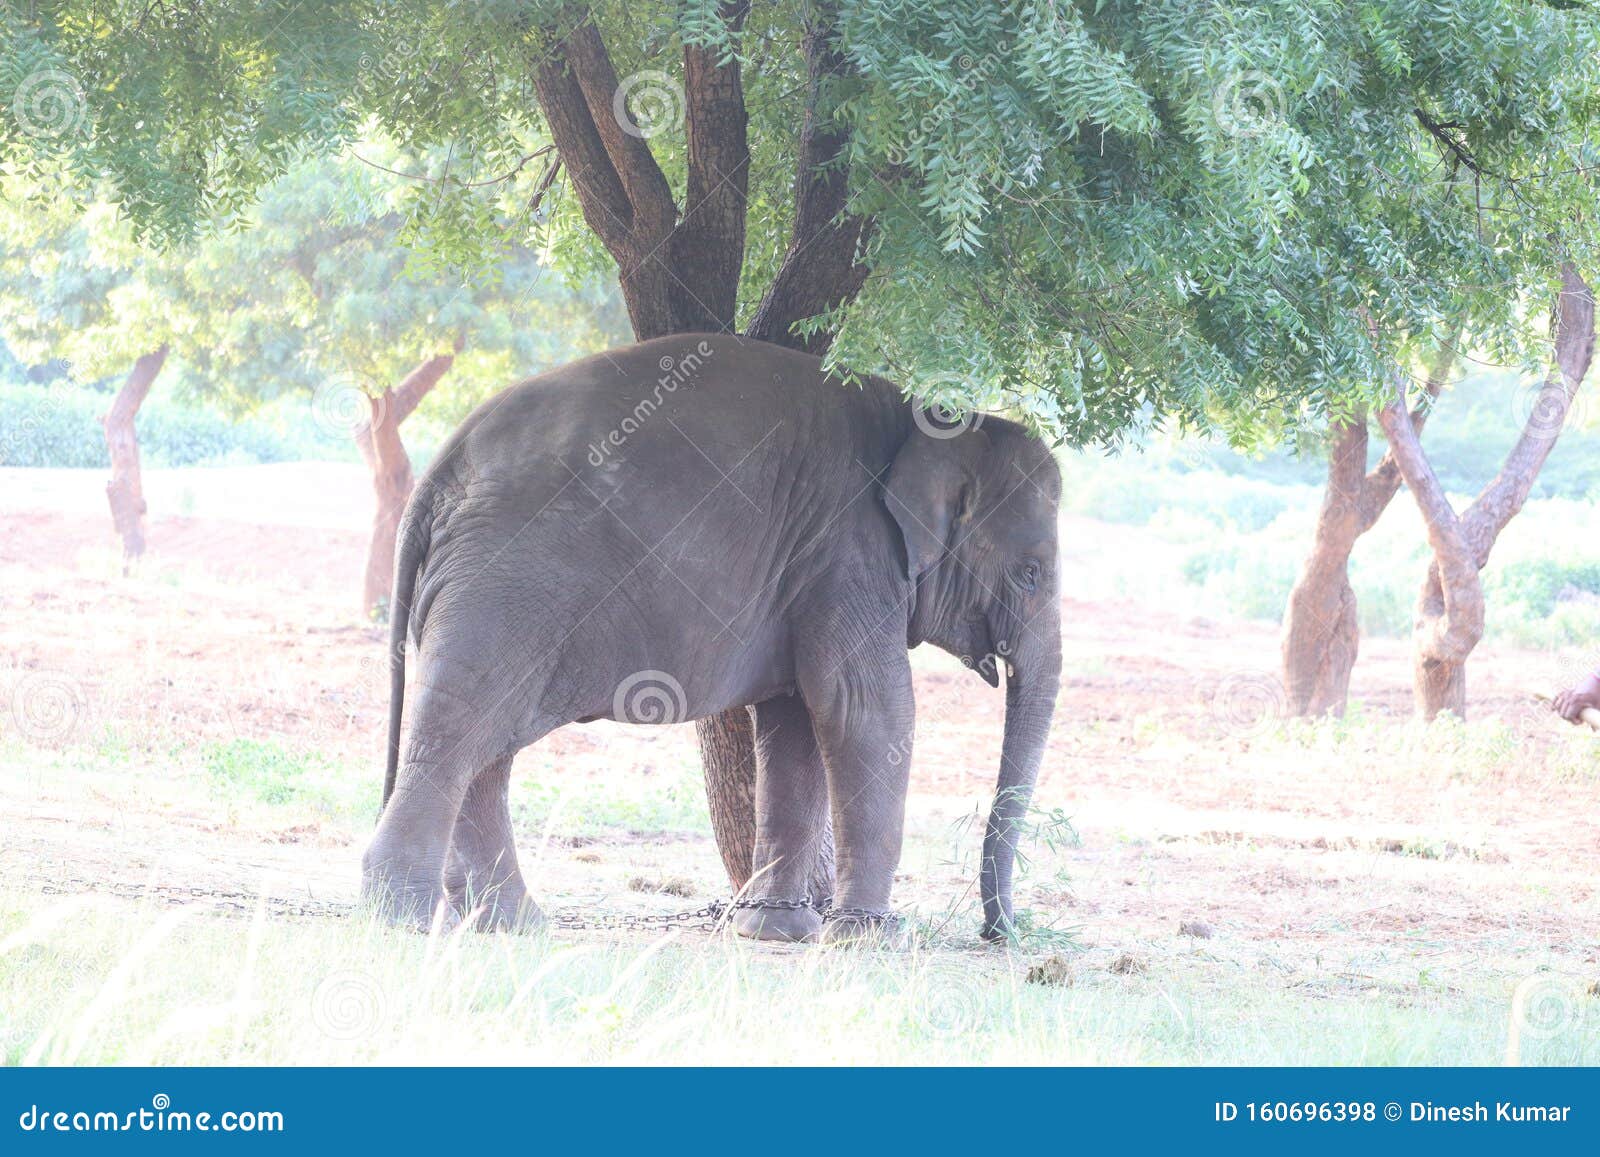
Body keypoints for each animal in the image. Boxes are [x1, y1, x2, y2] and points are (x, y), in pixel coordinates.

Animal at [362, 333, 1062, 944]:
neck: (938, 422)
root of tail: (441, 469)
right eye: (1029, 573)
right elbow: (865, 709)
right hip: (502, 587)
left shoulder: (807, 571)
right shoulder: (850, 554)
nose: (999, 933)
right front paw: (869, 939)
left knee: (487, 743)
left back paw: (512, 926)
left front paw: (776, 931)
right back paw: (402, 919)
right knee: (461, 729)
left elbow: (797, 720)